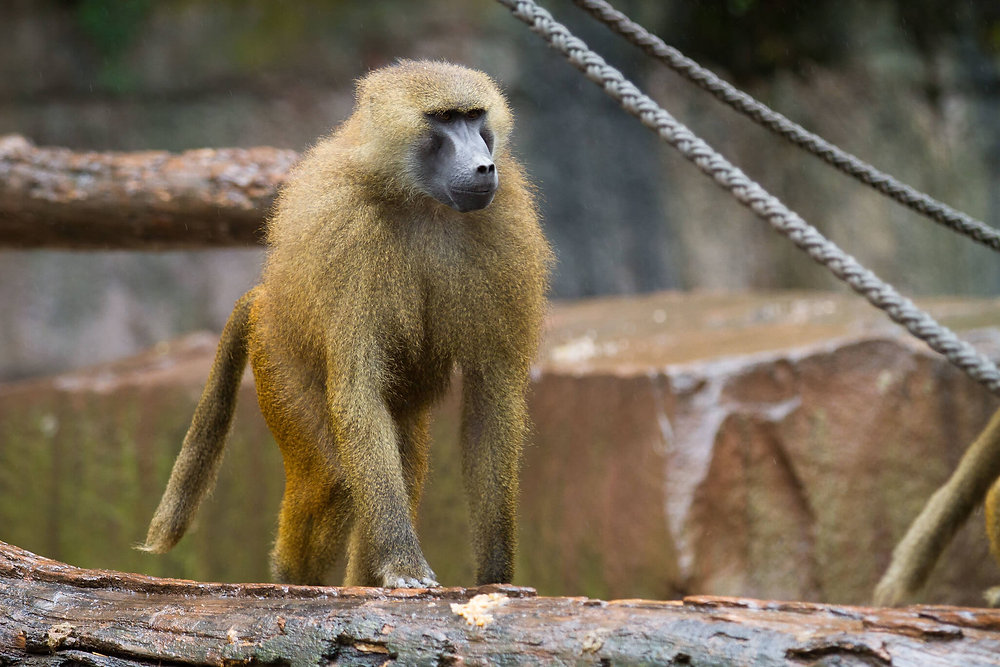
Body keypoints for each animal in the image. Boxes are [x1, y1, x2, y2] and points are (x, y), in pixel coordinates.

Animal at [140, 60, 552, 589]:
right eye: (443, 119)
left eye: (474, 117)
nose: (483, 166)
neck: (416, 198)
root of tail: (266, 299)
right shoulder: (347, 229)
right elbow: (357, 388)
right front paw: (404, 566)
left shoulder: (505, 222)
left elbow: (490, 400)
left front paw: (496, 579)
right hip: (280, 365)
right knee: (335, 479)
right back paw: (290, 580)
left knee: (400, 464)